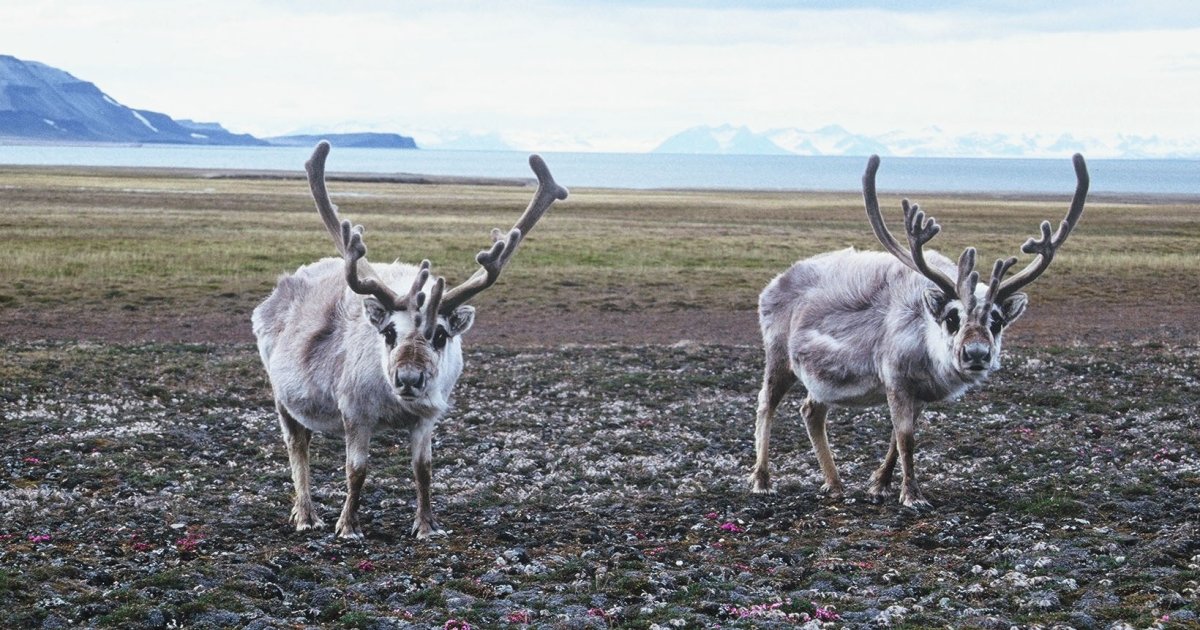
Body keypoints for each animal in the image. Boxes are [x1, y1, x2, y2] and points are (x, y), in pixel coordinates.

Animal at [252, 141, 568, 539]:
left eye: (441, 334)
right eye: (389, 332)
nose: (409, 378)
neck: (394, 405)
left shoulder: (428, 416)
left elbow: (423, 470)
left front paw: (427, 525)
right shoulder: (355, 411)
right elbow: (356, 471)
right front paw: (347, 525)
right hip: (279, 392)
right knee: (297, 444)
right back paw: (306, 515)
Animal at [750, 153, 1088, 509]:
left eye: (996, 321)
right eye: (952, 318)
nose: (977, 354)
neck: (927, 341)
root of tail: (772, 284)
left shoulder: (922, 391)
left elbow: (897, 439)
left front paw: (880, 484)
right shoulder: (896, 379)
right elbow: (905, 438)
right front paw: (912, 494)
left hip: (821, 379)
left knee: (811, 411)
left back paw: (835, 483)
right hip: (779, 357)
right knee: (765, 405)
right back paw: (762, 479)